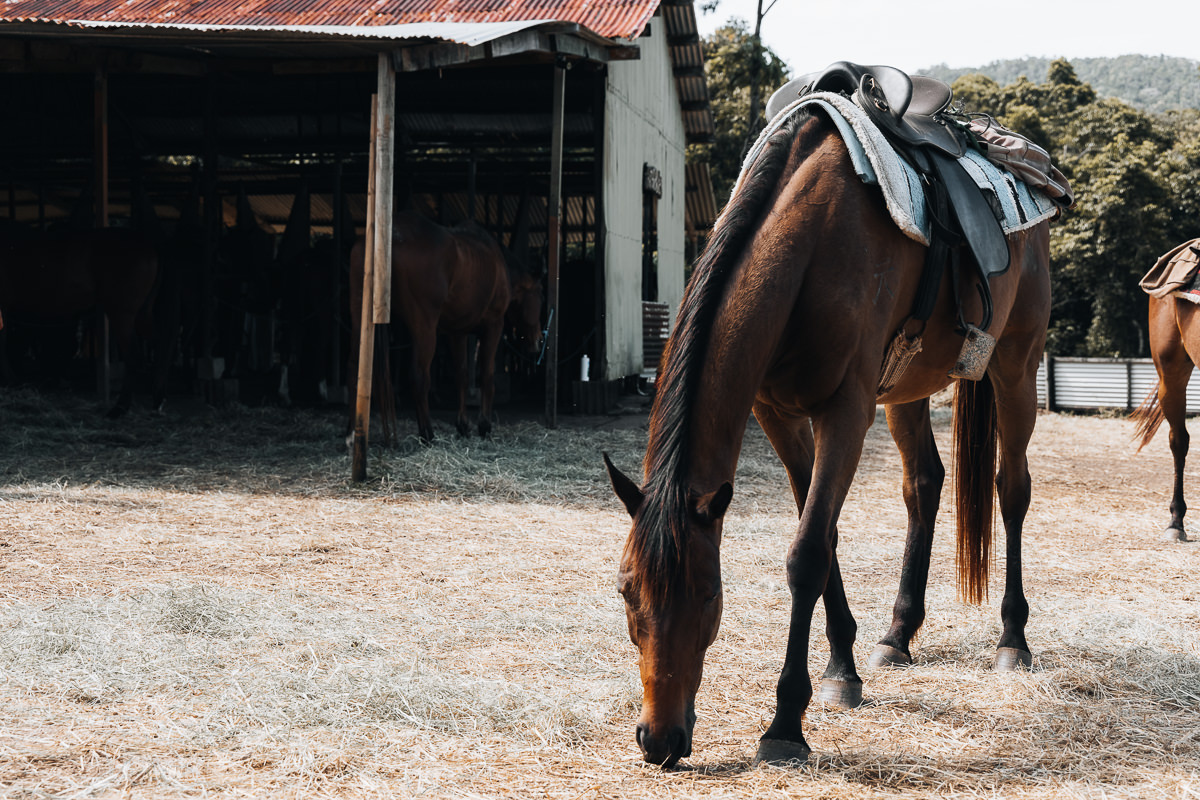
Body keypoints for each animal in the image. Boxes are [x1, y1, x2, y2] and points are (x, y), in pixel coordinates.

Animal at [0, 226, 161, 417]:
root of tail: (149, 249)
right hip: (141, 315)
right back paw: (157, 403)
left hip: (122, 314)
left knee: (134, 357)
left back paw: (119, 408)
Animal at [349, 210, 543, 443]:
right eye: (539, 296)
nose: (538, 340)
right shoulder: (493, 326)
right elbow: (487, 376)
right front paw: (484, 426)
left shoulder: (457, 333)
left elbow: (462, 376)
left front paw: (463, 426)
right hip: (425, 328)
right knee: (419, 376)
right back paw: (427, 433)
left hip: (362, 325)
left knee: (357, 374)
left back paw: (352, 435)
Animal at [603, 105, 1053, 767]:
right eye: (627, 592)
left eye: (710, 595)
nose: (659, 739)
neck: (809, 246)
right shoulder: (779, 415)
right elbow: (825, 537)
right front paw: (843, 666)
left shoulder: (846, 412)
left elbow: (808, 552)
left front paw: (787, 720)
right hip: (909, 389)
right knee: (924, 485)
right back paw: (898, 634)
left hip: (1016, 366)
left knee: (1012, 488)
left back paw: (1013, 638)